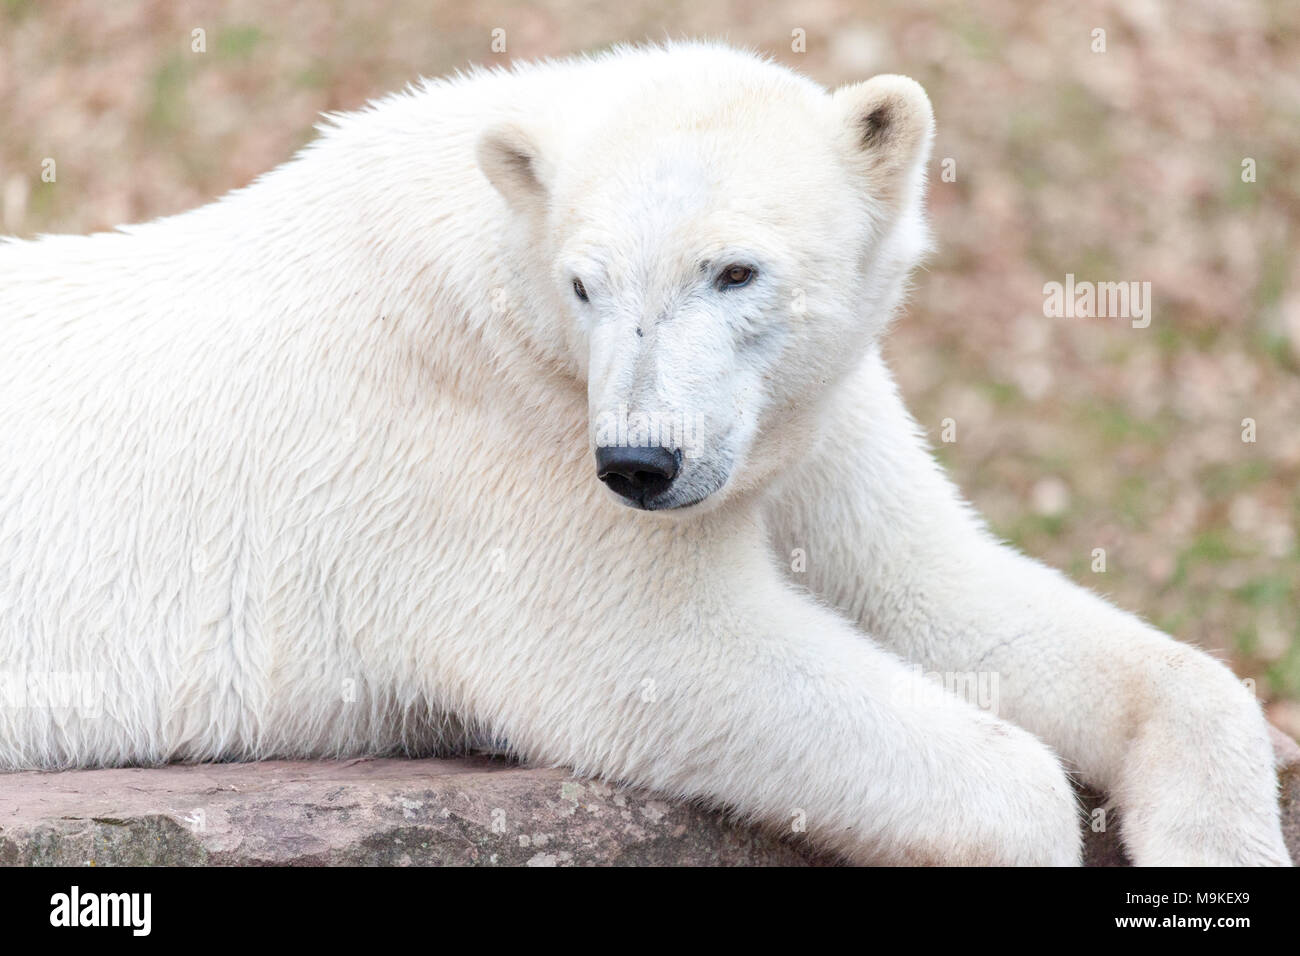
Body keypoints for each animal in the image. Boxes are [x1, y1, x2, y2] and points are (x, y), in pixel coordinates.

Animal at [0, 41, 1289, 866]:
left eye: (735, 270)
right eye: (587, 283)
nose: (640, 463)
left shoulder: (807, 420)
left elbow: (943, 598)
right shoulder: (489, 444)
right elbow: (663, 653)